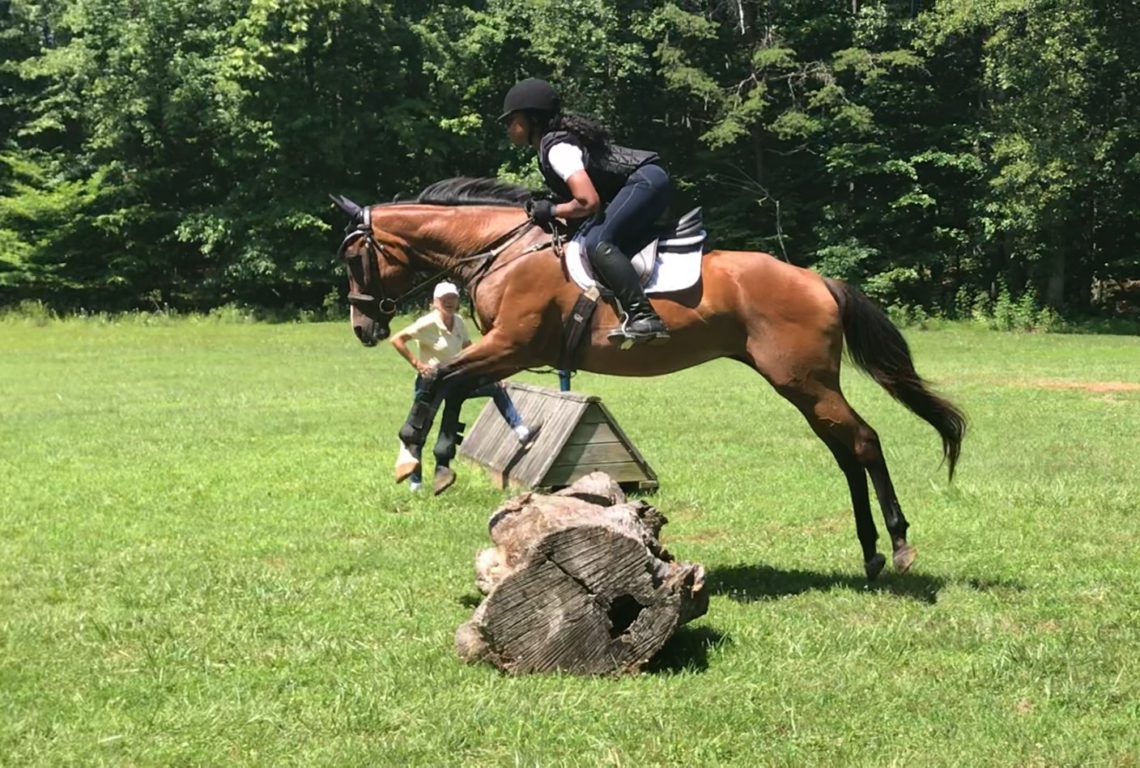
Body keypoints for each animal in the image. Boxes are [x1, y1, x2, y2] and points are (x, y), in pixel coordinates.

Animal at [332, 177, 966, 580]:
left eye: (353, 258)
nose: (362, 326)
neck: (503, 252)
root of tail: (817, 279)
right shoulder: (506, 353)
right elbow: (452, 384)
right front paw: (440, 458)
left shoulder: (511, 345)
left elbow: (438, 379)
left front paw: (414, 453)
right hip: (803, 387)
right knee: (845, 451)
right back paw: (871, 552)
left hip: (804, 381)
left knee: (863, 441)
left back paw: (899, 544)